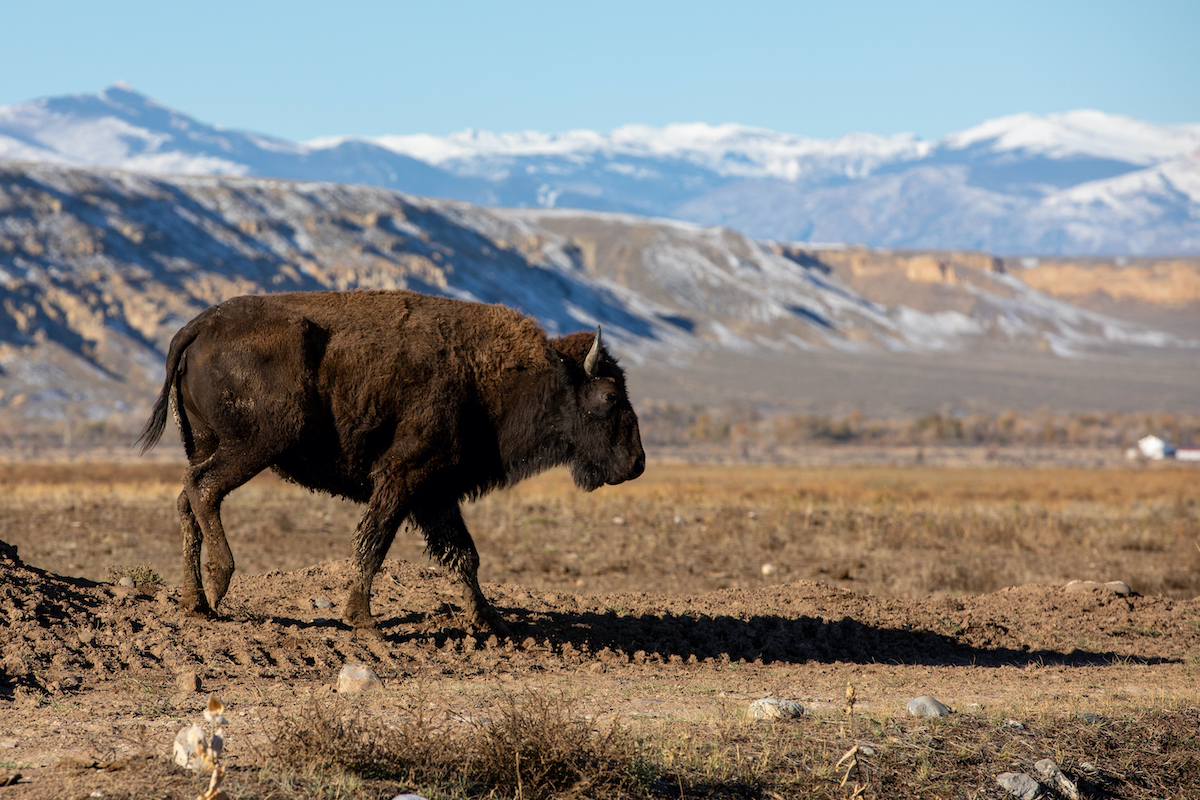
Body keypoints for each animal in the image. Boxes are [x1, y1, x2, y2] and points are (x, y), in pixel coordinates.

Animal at [138, 290, 645, 634]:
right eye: (609, 396)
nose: (637, 463)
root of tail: (200, 326)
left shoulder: (436, 493)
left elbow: (464, 556)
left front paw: (491, 620)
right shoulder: (403, 477)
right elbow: (374, 542)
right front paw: (362, 618)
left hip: (207, 442)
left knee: (186, 499)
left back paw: (195, 603)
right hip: (254, 446)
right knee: (203, 489)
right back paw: (219, 583)